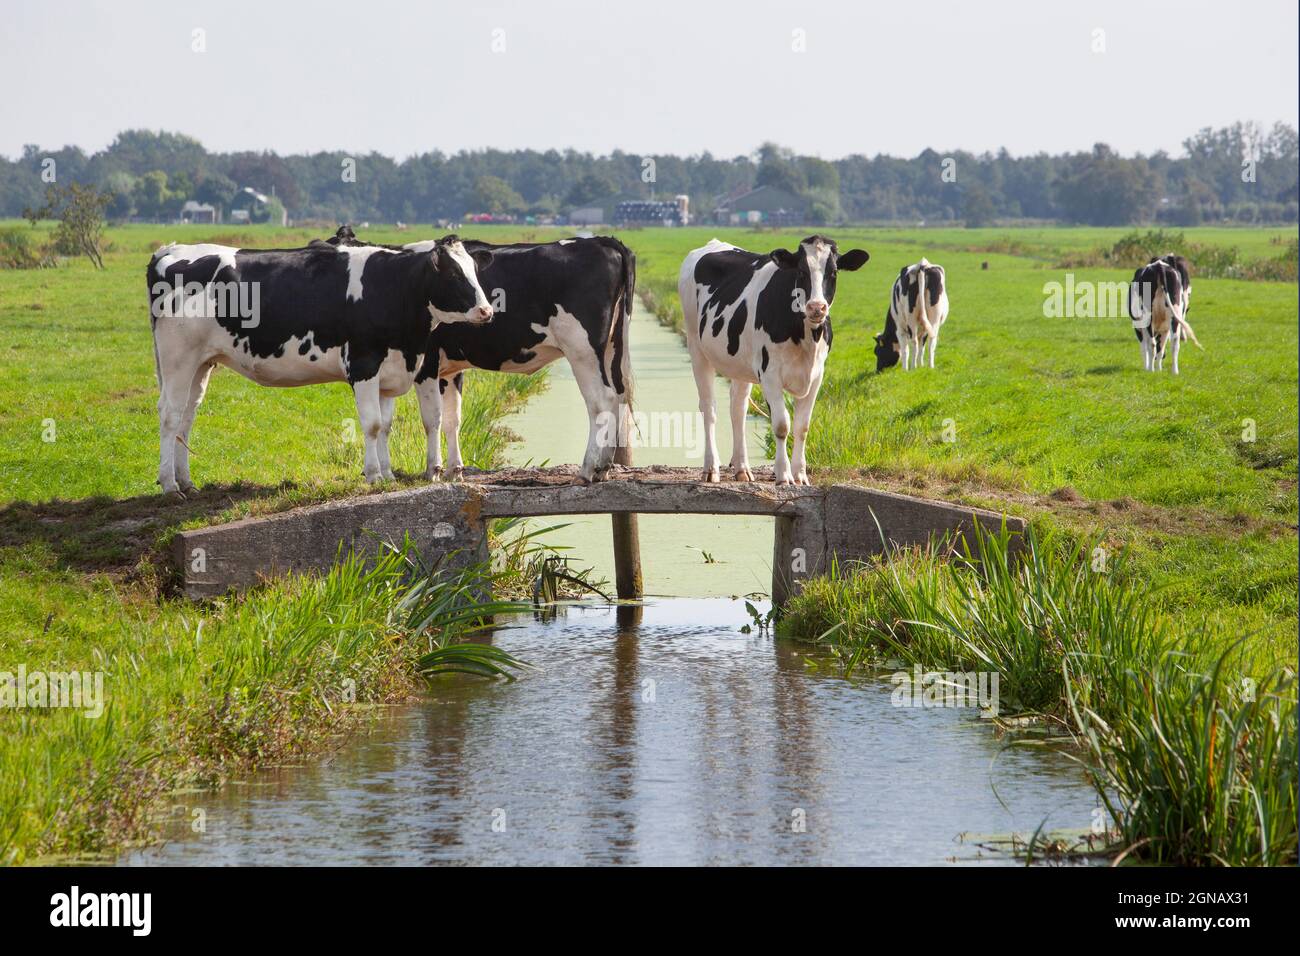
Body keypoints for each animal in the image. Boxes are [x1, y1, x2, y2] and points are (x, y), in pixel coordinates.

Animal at [146, 235, 493, 496]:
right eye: (453, 274)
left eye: (475, 271)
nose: (487, 310)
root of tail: (169, 250)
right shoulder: (363, 363)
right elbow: (372, 424)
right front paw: (373, 475)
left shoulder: (389, 370)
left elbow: (385, 426)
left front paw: (388, 474)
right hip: (178, 357)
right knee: (170, 414)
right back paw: (170, 485)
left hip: (201, 362)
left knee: (187, 416)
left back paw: (187, 482)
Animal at [327, 227, 635, 483]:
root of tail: (601, 241)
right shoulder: (448, 370)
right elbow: (452, 419)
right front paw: (454, 470)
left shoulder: (426, 363)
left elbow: (432, 418)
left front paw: (432, 471)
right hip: (612, 348)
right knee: (619, 397)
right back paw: (604, 468)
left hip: (582, 348)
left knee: (601, 400)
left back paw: (587, 470)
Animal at [678, 236, 870, 486]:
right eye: (801, 271)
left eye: (834, 272)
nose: (816, 307)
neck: (806, 337)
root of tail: (713, 243)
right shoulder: (769, 374)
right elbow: (781, 425)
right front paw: (783, 475)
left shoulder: (816, 375)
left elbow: (802, 426)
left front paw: (800, 475)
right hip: (696, 347)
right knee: (709, 408)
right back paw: (711, 469)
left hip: (741, 364)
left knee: (738, 409)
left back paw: (742, 468)